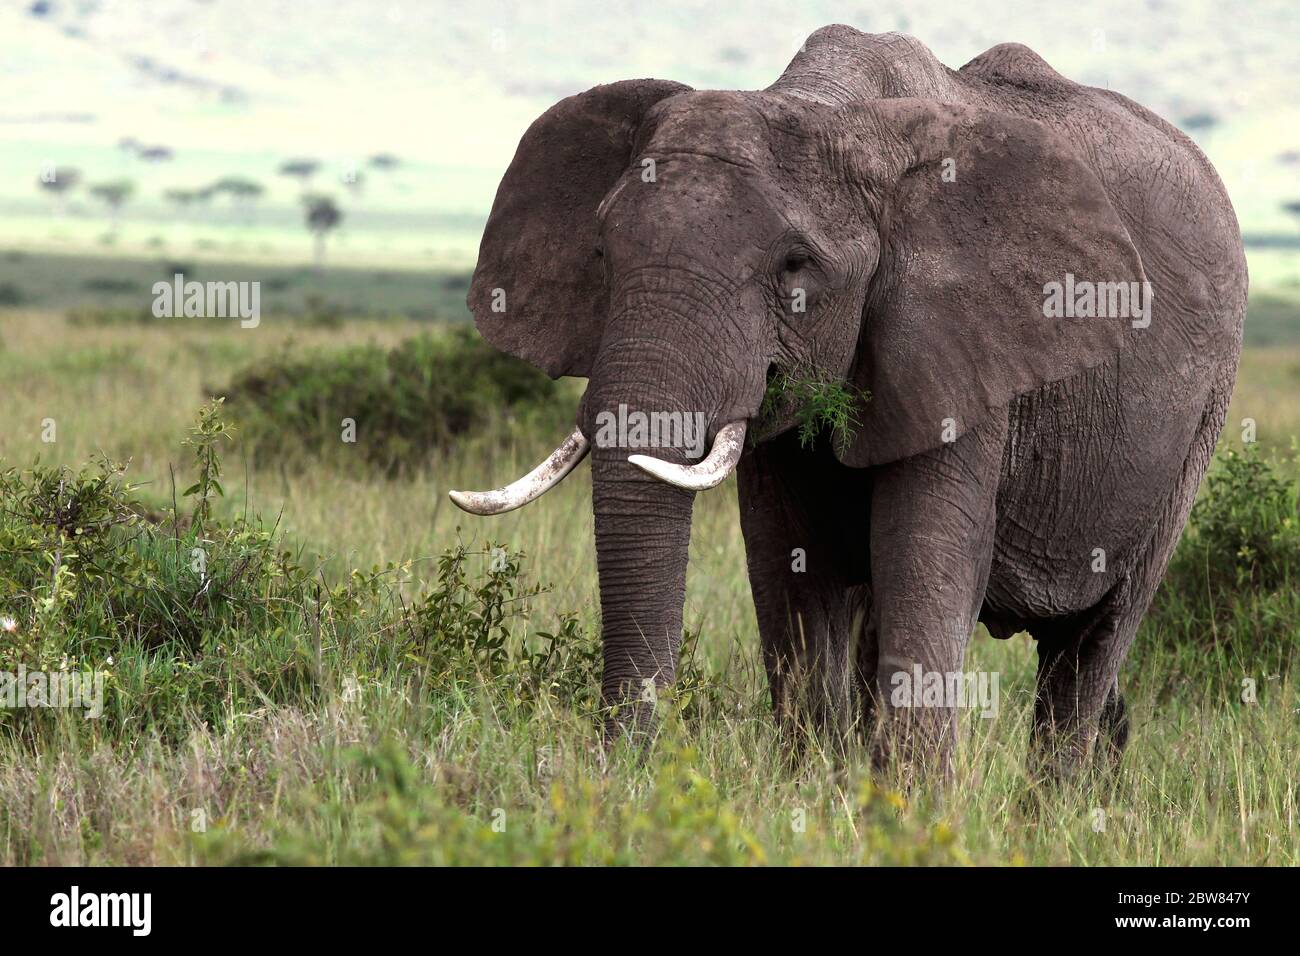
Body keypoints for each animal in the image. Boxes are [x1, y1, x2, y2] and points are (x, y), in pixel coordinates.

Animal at [450, 25, 1247, 779]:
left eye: (795, 266)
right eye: (603, 253)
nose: (618, 775)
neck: (830, 108)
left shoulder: (964, 345)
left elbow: (923, 556)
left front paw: (909, 808)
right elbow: (788, 563)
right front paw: (809, 791)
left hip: (1198, 423)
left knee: (1093, 641)